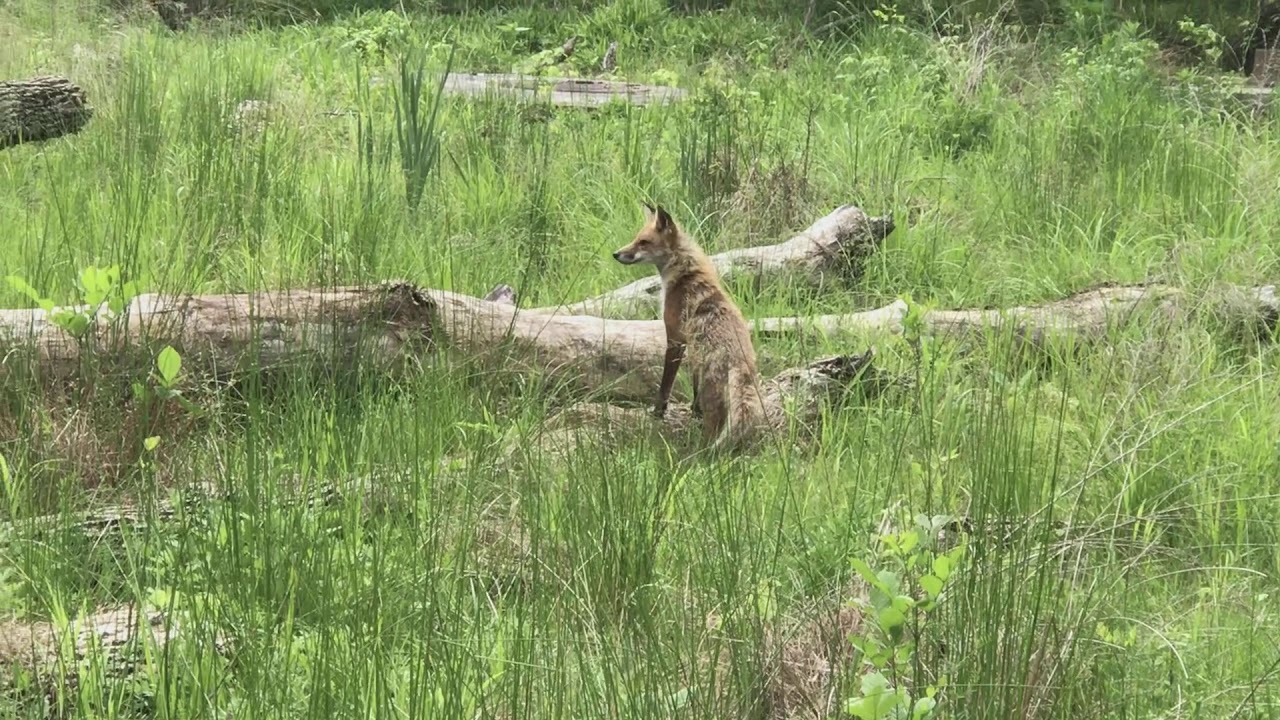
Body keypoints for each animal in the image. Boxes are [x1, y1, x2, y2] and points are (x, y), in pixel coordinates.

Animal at [613, 203, 766, 454]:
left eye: (643, 242)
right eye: (636, 238)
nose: (616, 254)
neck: (686, 275)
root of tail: (740, 363)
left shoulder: (675, 339)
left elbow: (665, 385)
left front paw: (658, 412)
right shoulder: (694, 353)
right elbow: (693, 390)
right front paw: (693, 411)